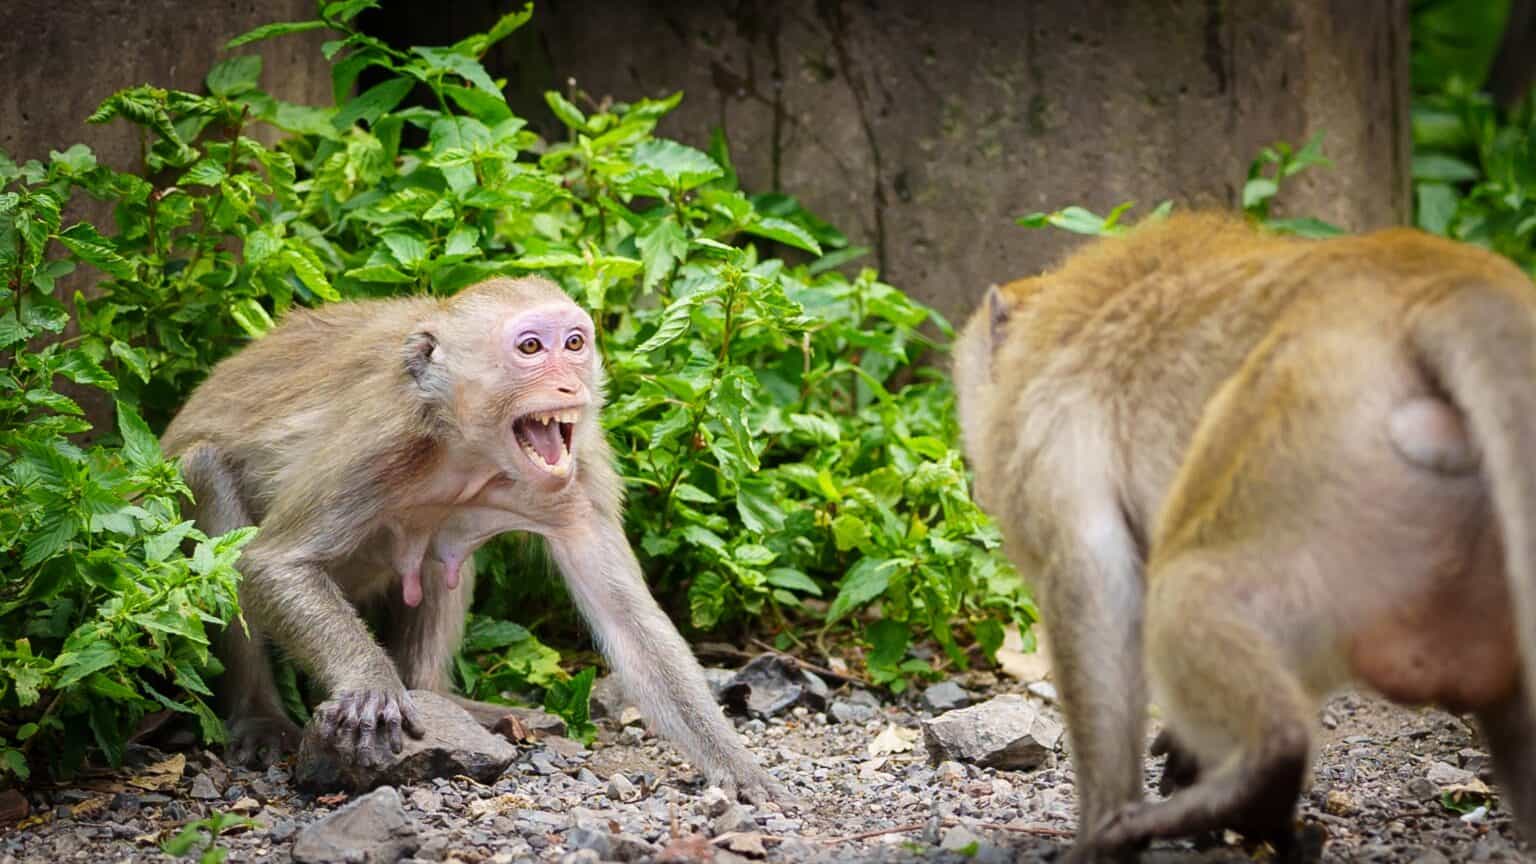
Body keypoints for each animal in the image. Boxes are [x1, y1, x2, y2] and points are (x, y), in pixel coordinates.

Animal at [160, 275, 779, 802]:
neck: (467, 446)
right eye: (531, 348)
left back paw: (437, 692)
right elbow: (274, 562)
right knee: (204, 469)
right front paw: (371, 683)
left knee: (437, 555)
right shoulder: (379, 438)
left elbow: (629, 623)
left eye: (575, 343)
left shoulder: (582, 468)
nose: (570, 384)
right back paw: (260, 712)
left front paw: (733, 762)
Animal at [951, 211, 1536, 860]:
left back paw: (1257, 780)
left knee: (1184, 594)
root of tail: (1450, 278)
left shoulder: (1043, 445)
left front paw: (1098, 837)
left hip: (1303, 442)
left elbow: (1093, 585)